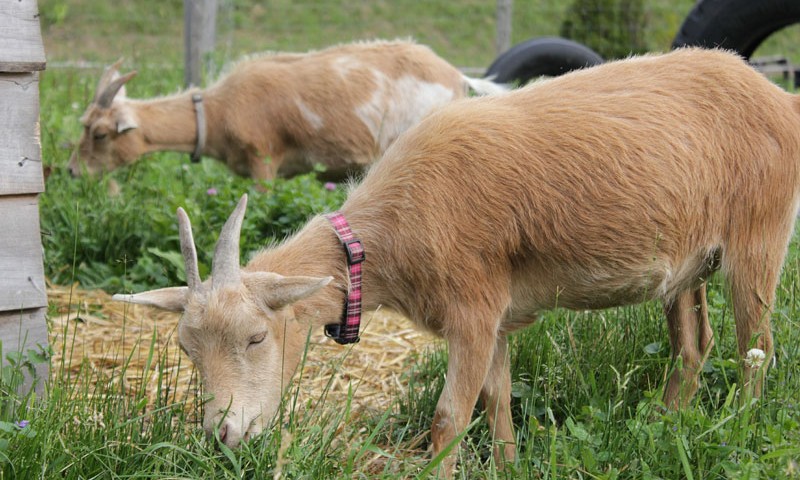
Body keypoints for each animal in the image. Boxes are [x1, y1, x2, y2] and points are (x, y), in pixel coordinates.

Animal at [68, 40, 505, 181]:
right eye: (83, 125)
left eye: (100, 133)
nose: (72, 171)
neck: (218, 110)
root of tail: (458, 78)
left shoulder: (264, 160)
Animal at [114, 48, 800, 475]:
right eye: (186, 349)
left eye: (257, 337)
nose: (222, 436)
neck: (384, 236)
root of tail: (779, 98)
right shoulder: (493, 318)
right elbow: (496, 402)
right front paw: (511, 467)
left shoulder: (472, 308)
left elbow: (449, 418)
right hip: (687, 265)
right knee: (692, 347)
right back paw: (666, 428)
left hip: (758, 236)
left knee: (755, 347)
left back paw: (735, 431)